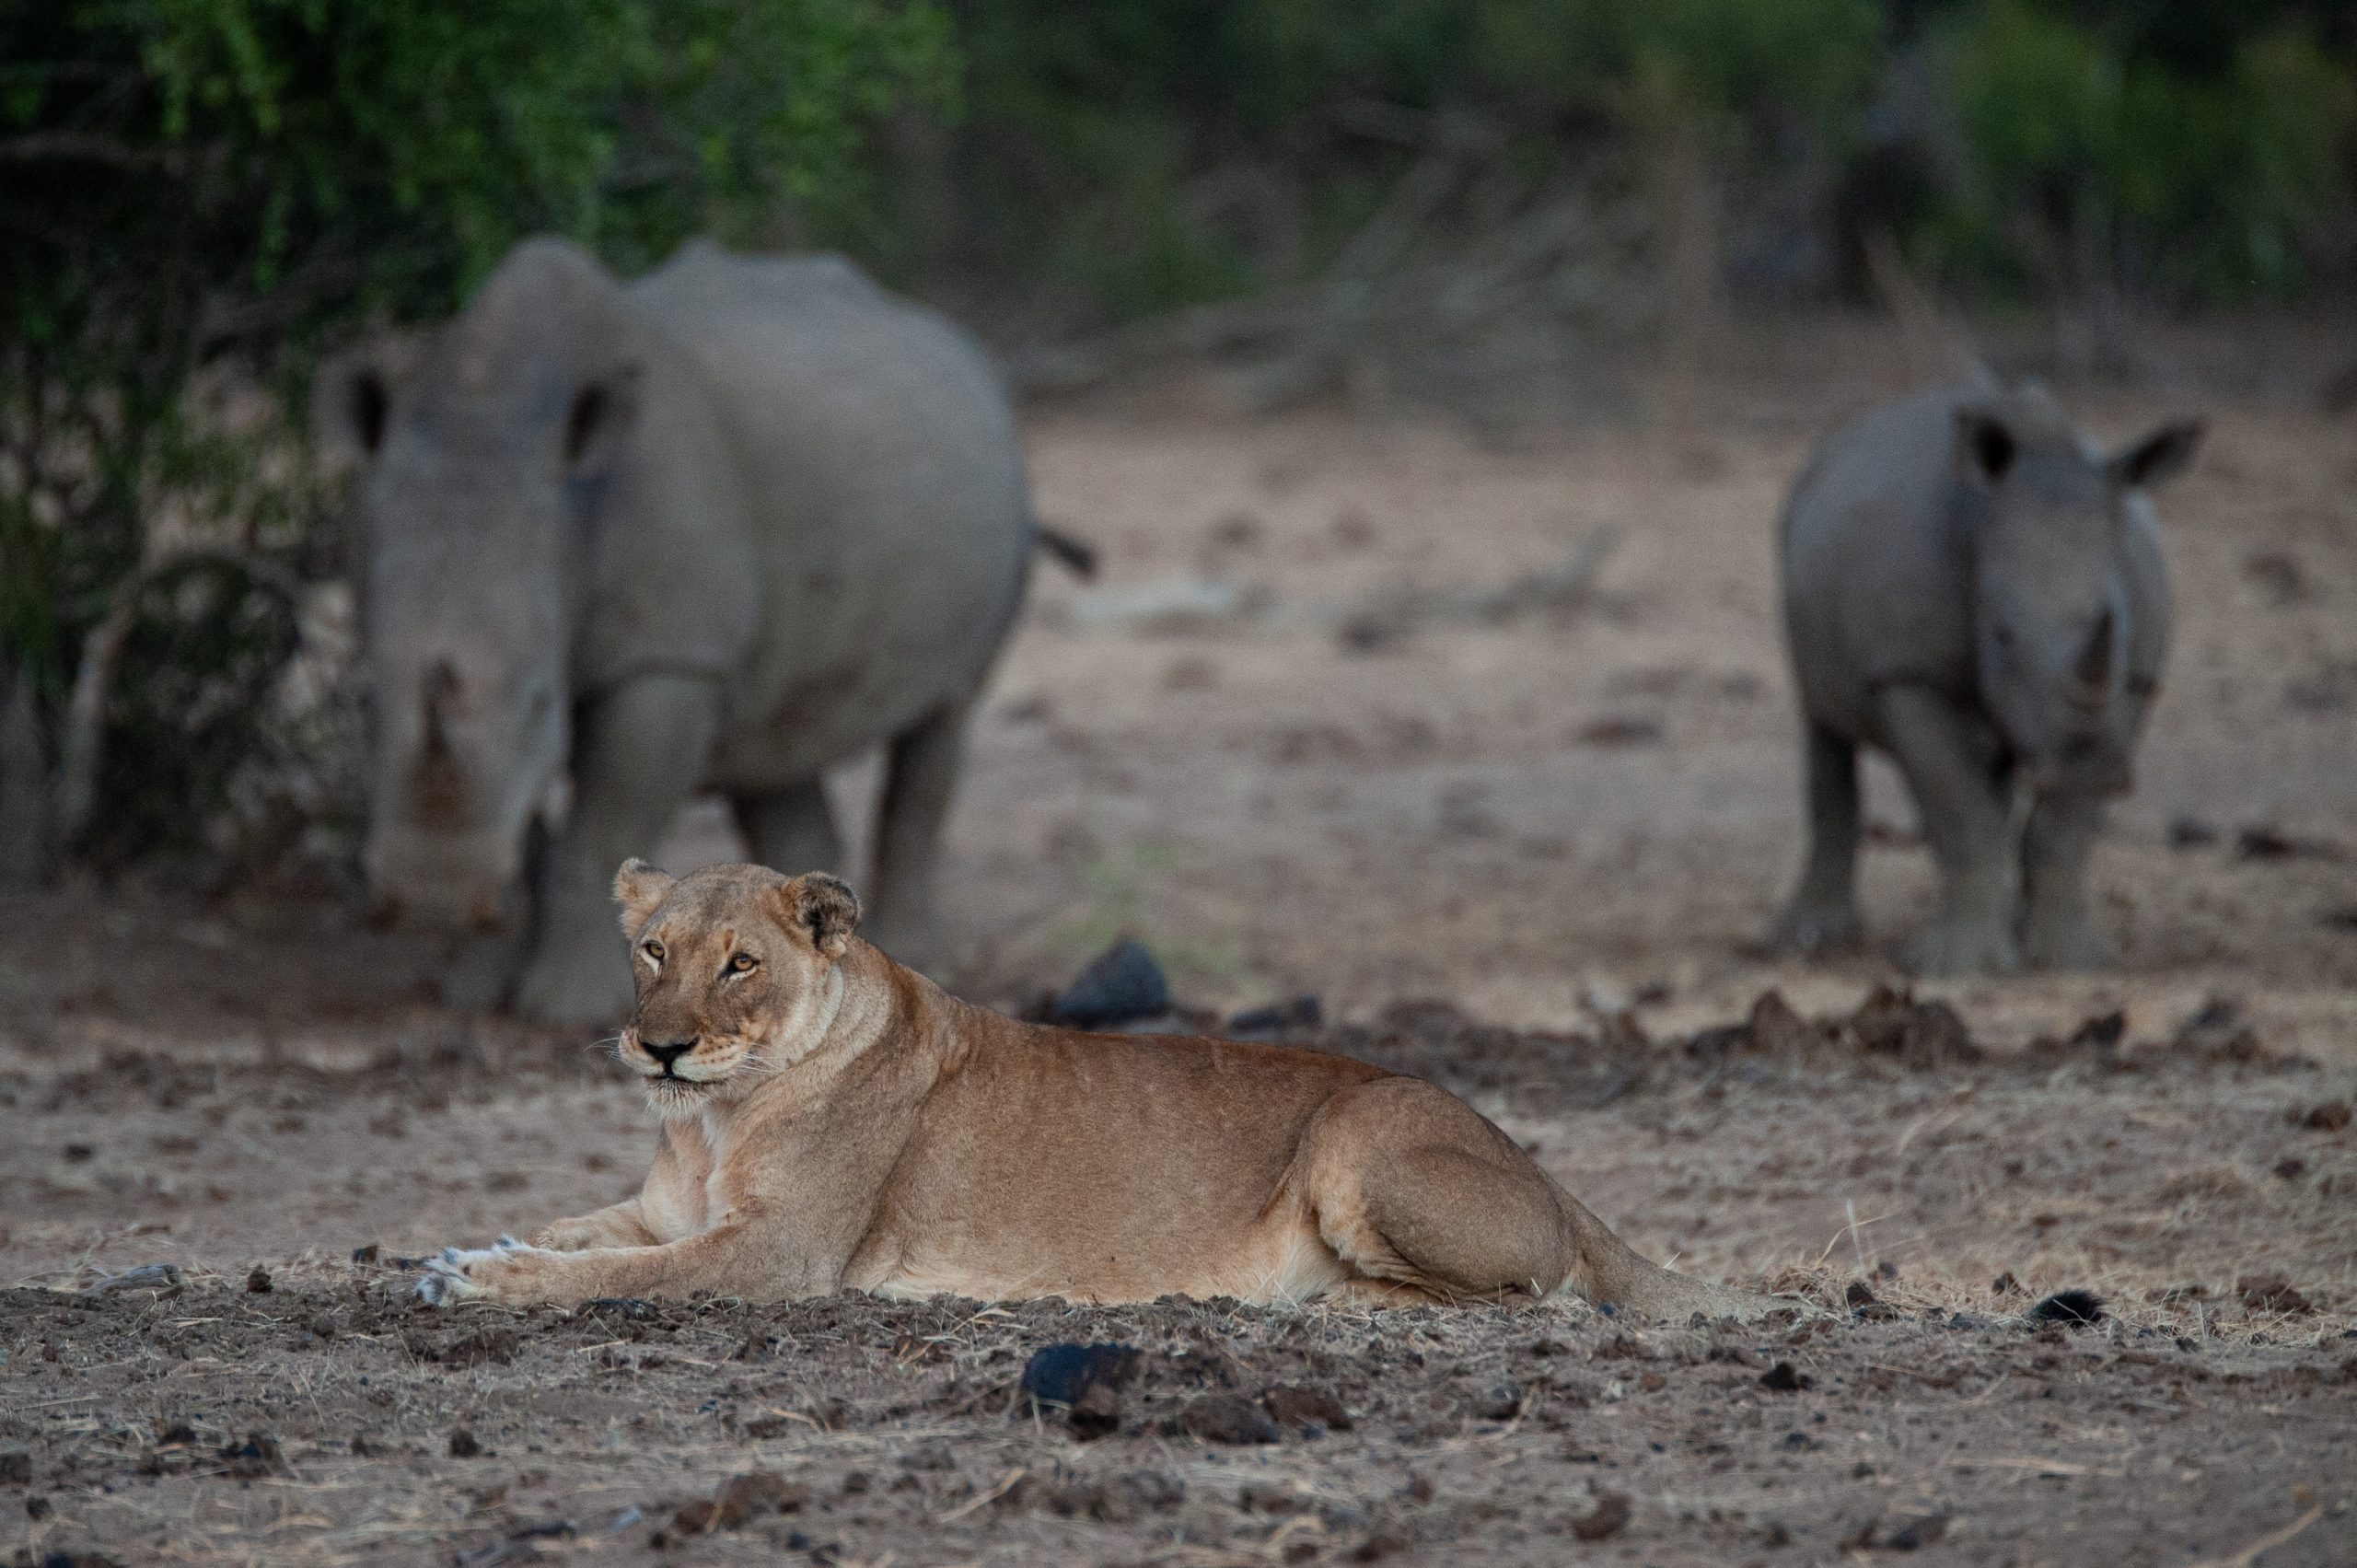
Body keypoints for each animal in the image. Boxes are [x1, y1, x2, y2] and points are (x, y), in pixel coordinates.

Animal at [319, 237, 1066, 1024]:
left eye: (540, 702)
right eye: (367, 701)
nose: (428, 898)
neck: (495, 420)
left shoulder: (669, 656)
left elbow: (606, 822)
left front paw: (564, 1008)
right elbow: (526, 820)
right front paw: (474, 992)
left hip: (1004, 501)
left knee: (940, 722)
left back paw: (914, 959)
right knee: (779, 750)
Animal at [416, 860, 1768, 1318]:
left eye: (739, 961)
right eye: (652, 950)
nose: (658, 1048)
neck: (711, 1113)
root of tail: (1545, 1167)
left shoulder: (777, 1252)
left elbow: (613, 1273)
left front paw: (480, 1277)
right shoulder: (666, 1210)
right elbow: (583, 1230)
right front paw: (449, 1246)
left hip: (1357, 1126)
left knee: (1536, 1292)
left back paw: (1332, 1299)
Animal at [1769, 377, 2202, 976]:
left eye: (2118, 622)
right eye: (2000, 633)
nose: (2087, 761)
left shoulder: (2135, 680)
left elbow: (2064, 826)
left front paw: (2072, 962)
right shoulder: (1910, 674)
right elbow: (1961, 808)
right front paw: (1958, 970)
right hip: (1796, 547)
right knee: (1824, 724)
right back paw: (1810, 937)